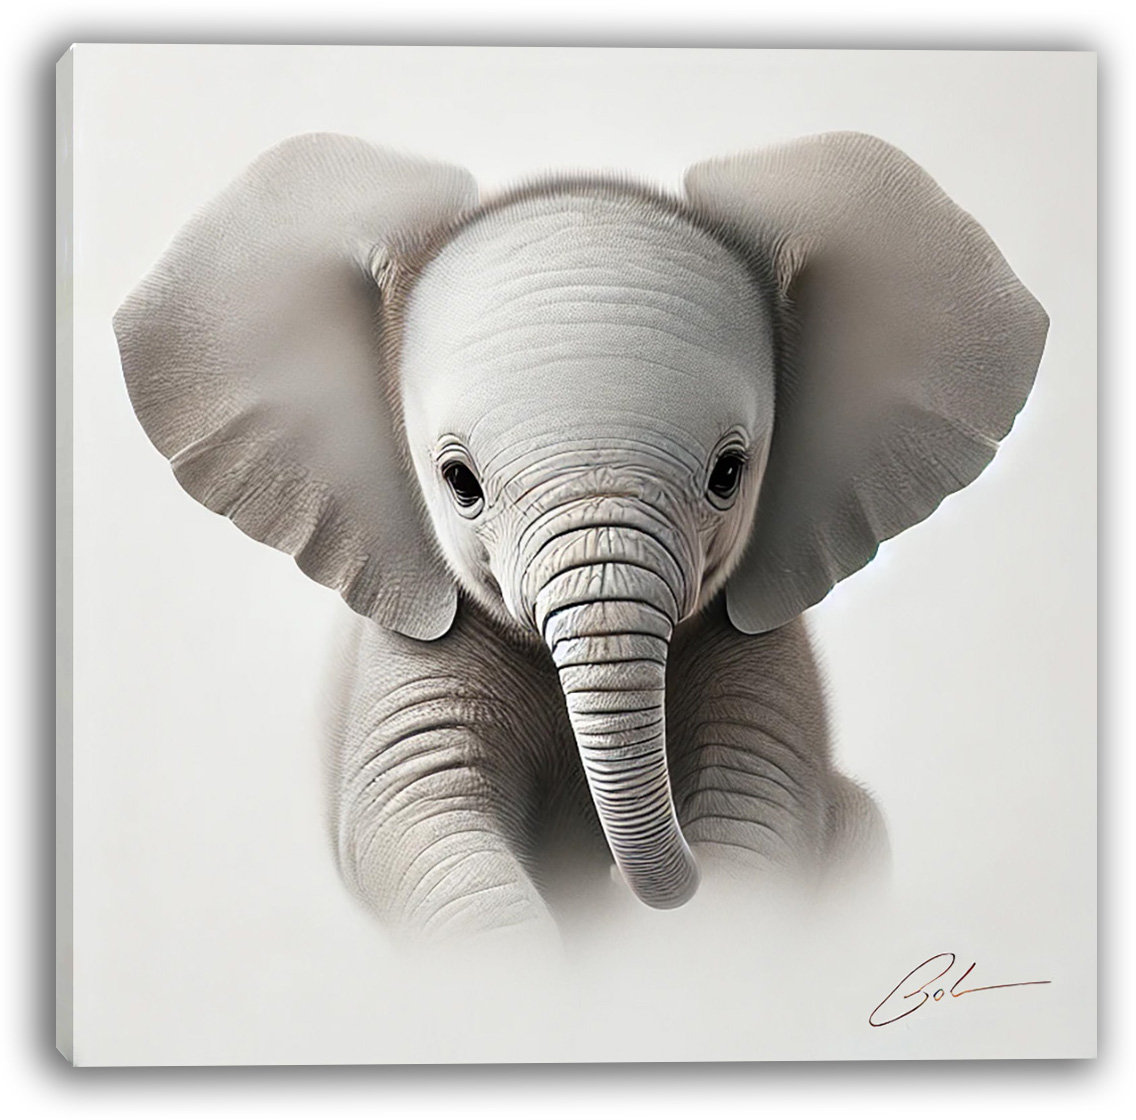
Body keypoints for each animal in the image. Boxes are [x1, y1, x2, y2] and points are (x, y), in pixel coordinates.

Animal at [114, 131, 1048, 945]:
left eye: (729, 472)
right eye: (459, 482)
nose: (604, 878)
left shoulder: (761, 653)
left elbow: (756, 818)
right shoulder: (417, 637)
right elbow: (415, 823)